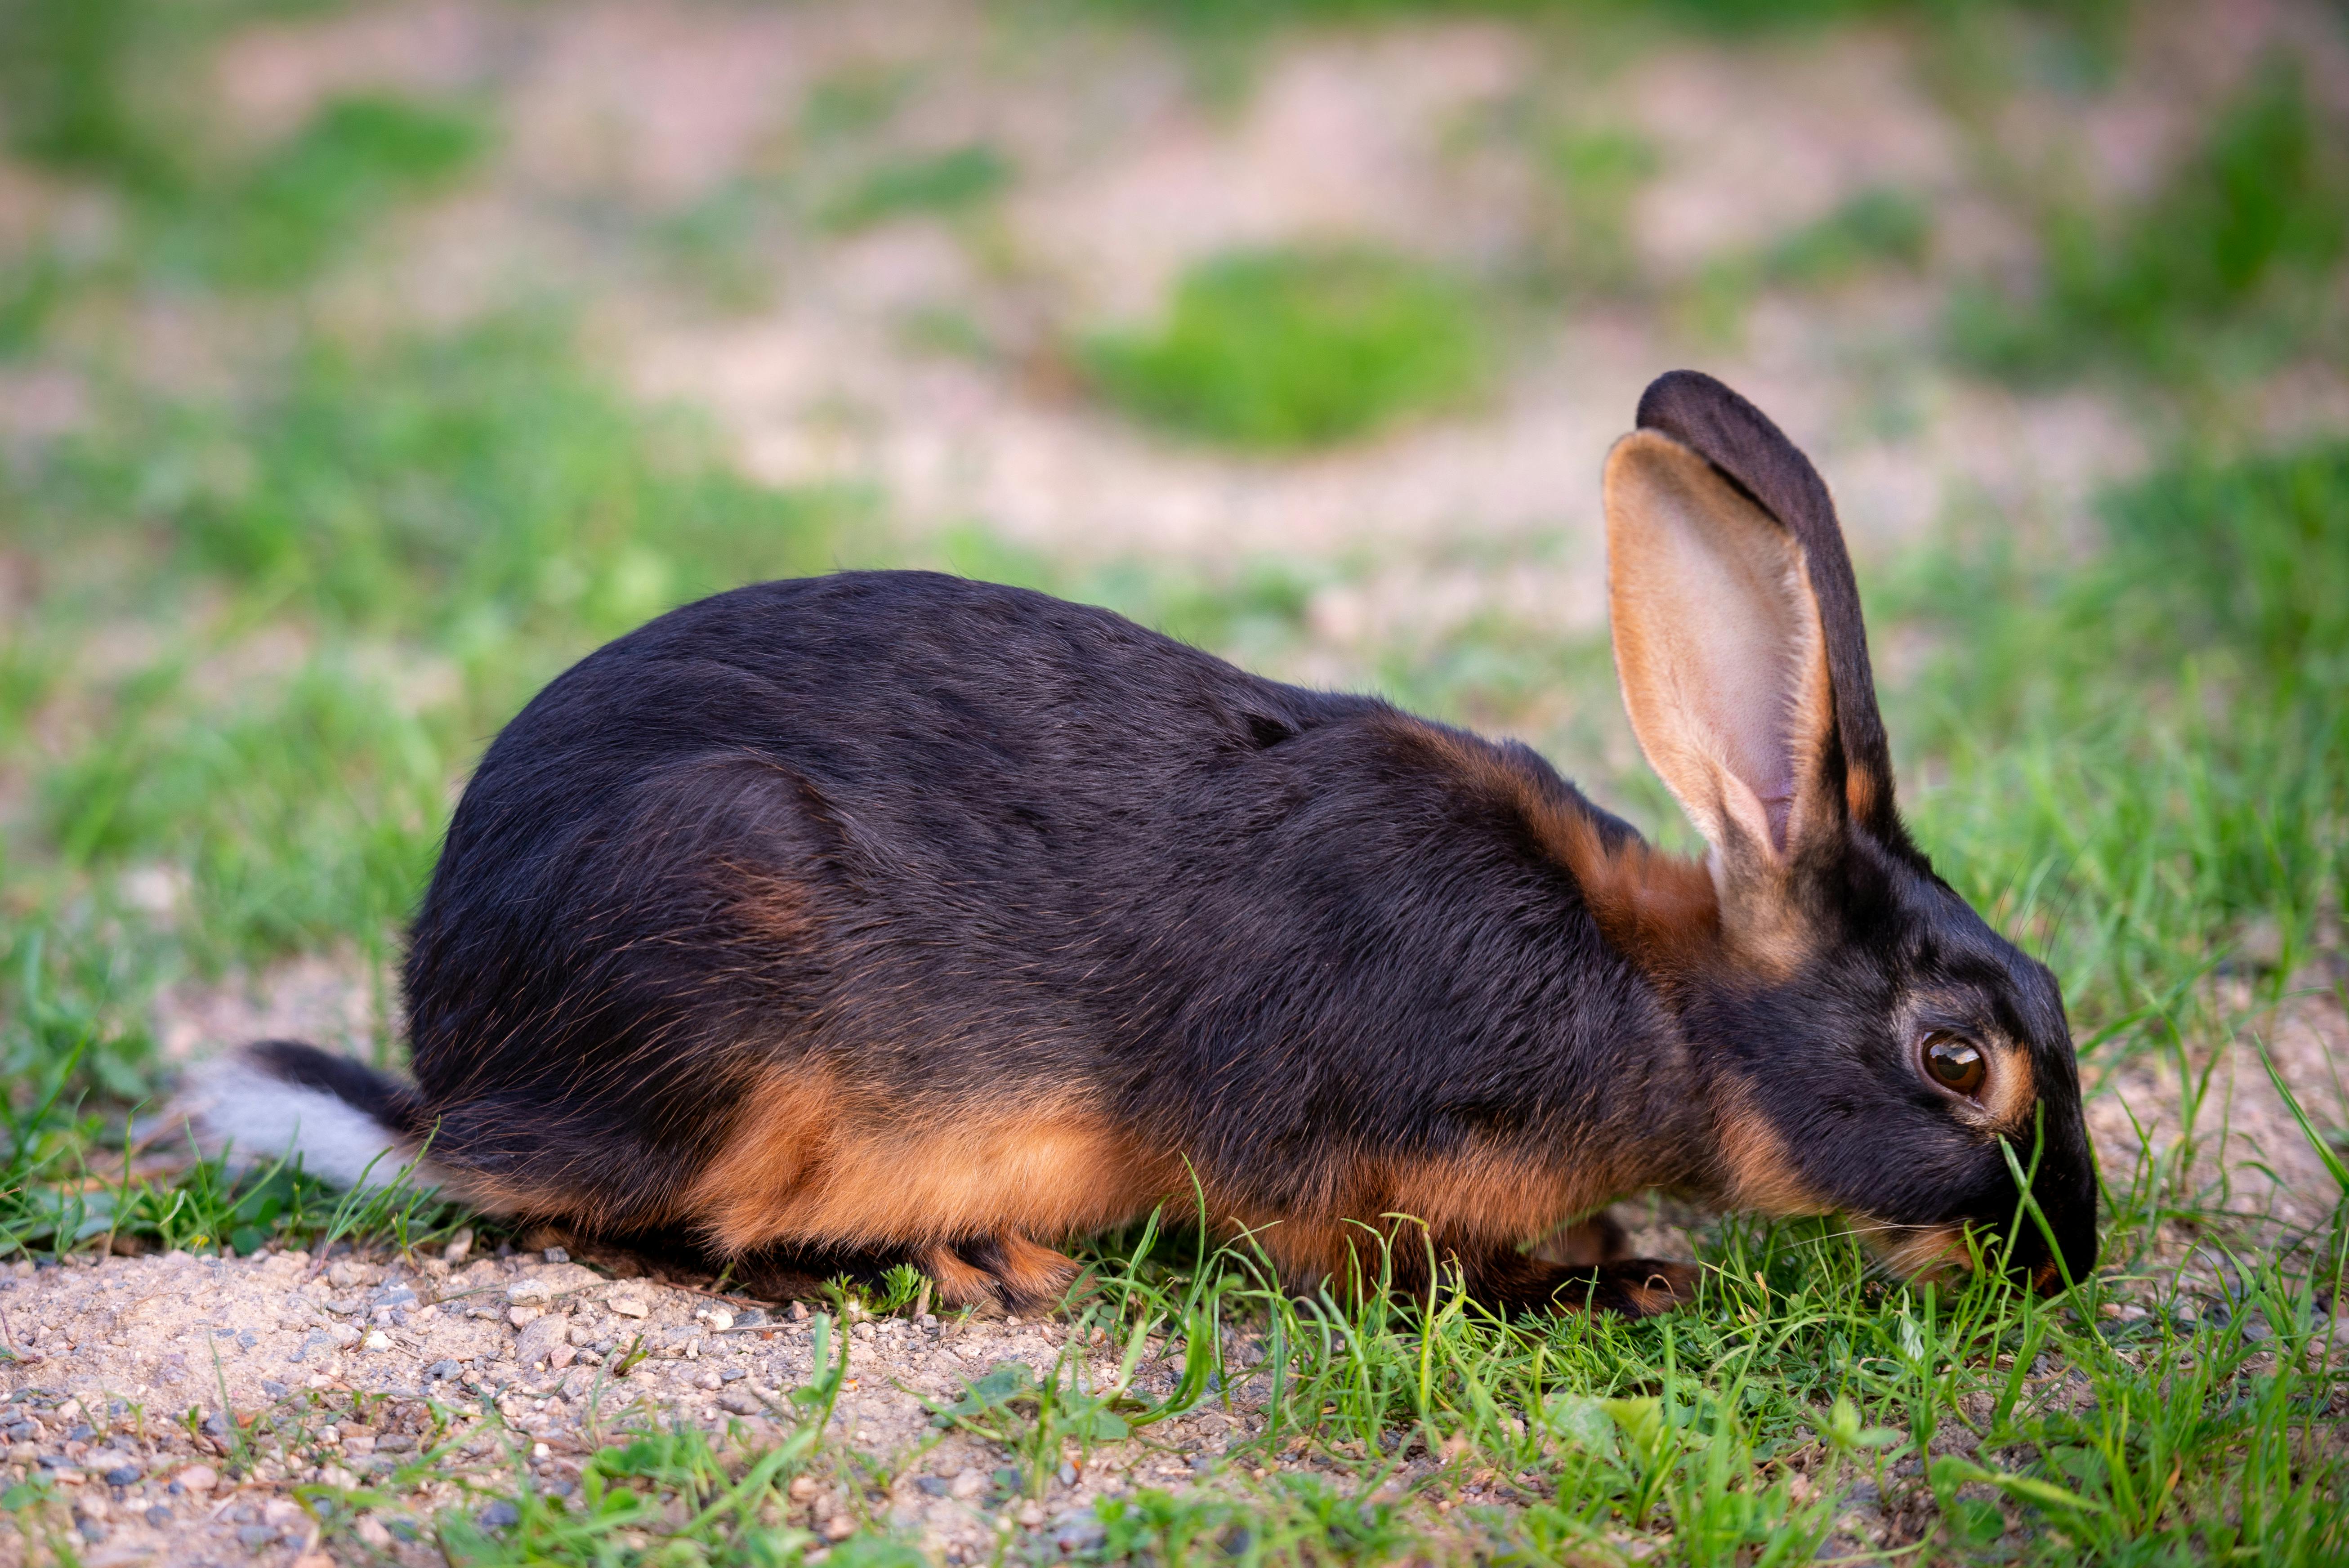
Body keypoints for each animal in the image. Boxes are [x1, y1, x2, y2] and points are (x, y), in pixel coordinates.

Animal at [188, 370, 2098, 1316]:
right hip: (723, 989)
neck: (1658, 1003)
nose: (2062, 1259)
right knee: (631, 1222)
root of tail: (452, 1067)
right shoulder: (1342, 1158)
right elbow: (1367, 1264)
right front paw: (1608, 1283)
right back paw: (955, 1264)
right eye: (1955, 1059)